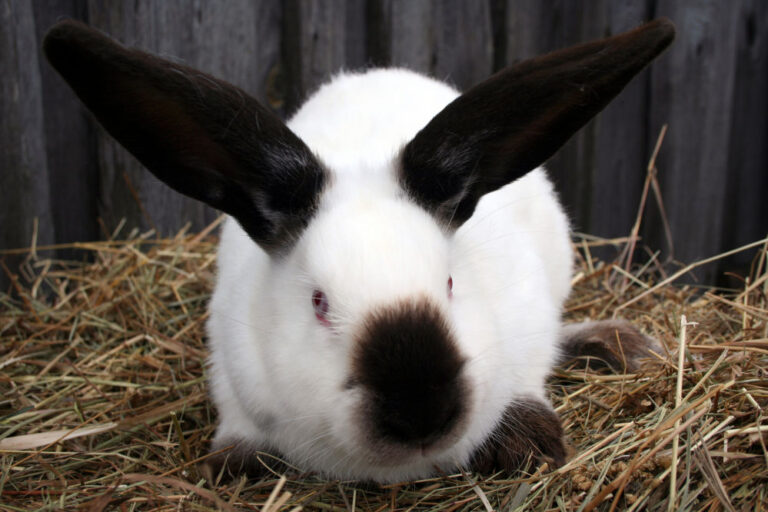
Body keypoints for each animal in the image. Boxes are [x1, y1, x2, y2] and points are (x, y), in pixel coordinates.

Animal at [43, 18, 674, 483]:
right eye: (319, 303)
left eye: (450, 285)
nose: (420, 411)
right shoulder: (230, 363)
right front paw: (234, 465)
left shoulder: (529, 320)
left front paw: (529, 440)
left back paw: (624, 345)